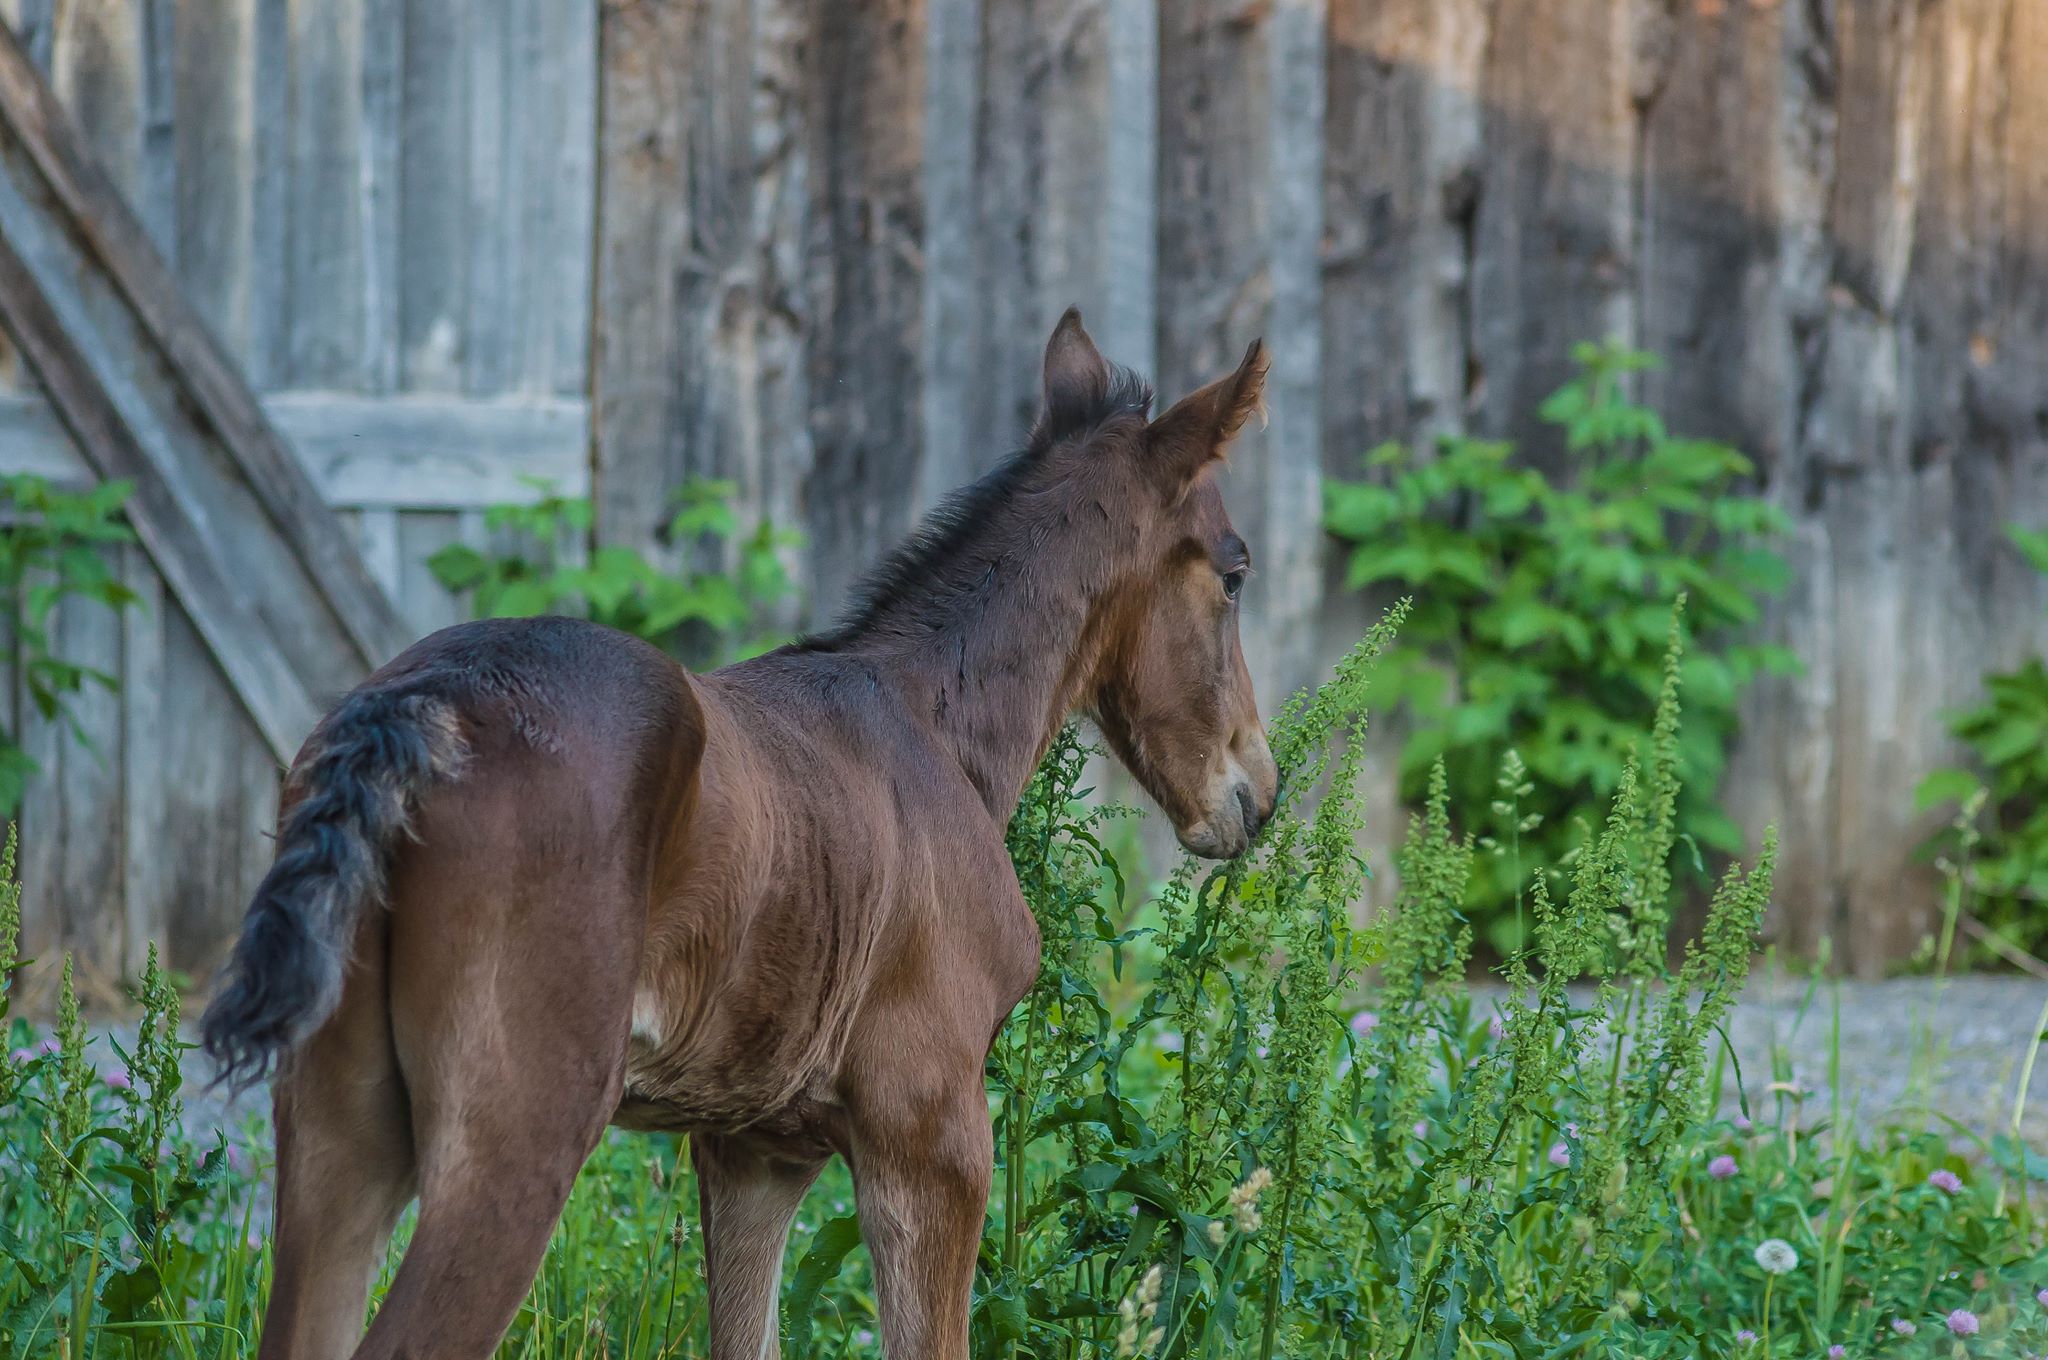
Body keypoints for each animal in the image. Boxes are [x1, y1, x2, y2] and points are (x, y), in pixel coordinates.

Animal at [200, 308, 1279, 1360]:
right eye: (1233, 574)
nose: (1258, 793)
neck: (936, 724)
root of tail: (420, 705)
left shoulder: (753, 1150)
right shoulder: (930, 1131)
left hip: (338, 1133)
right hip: (515, 1141)